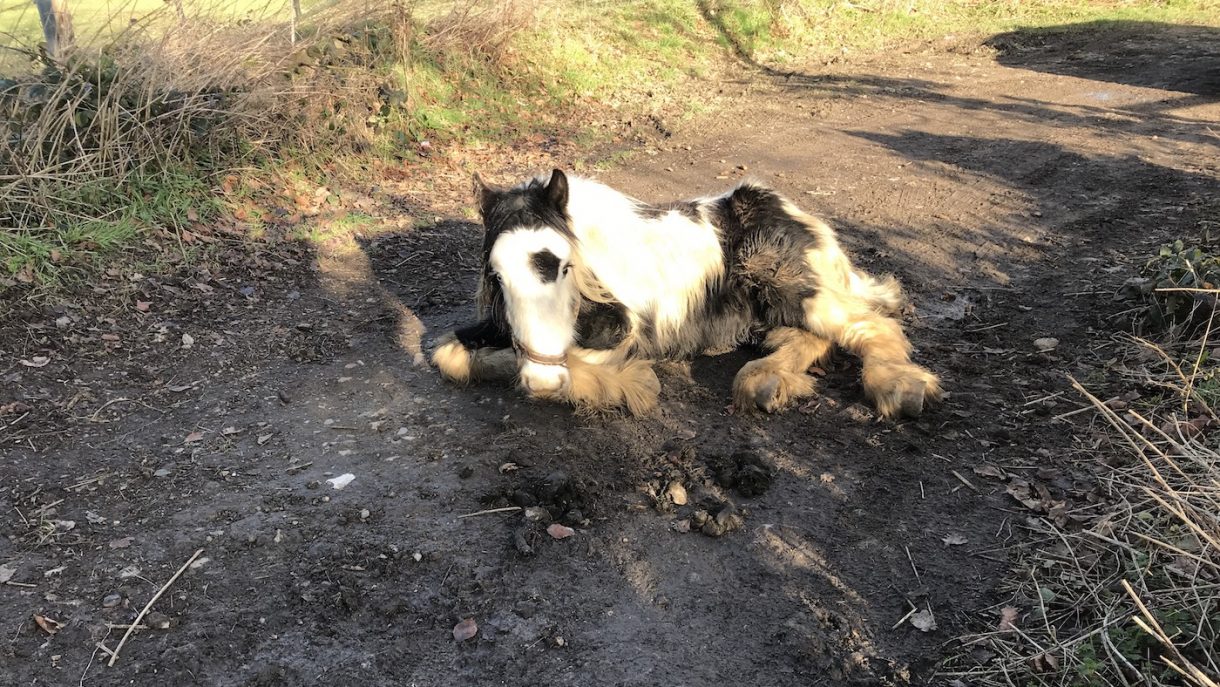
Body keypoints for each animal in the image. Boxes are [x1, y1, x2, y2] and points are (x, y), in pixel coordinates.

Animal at [431, 169, 942, 419]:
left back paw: (899, 389)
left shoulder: (626, 333)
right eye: (495, 276)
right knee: (814, 335)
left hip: (788, 285)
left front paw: (635, 385)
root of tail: (805, 222)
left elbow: (581, 367)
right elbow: (448, 354)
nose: (540, 381)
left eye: (562, 265)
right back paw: (767, 382)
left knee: (869, 324)